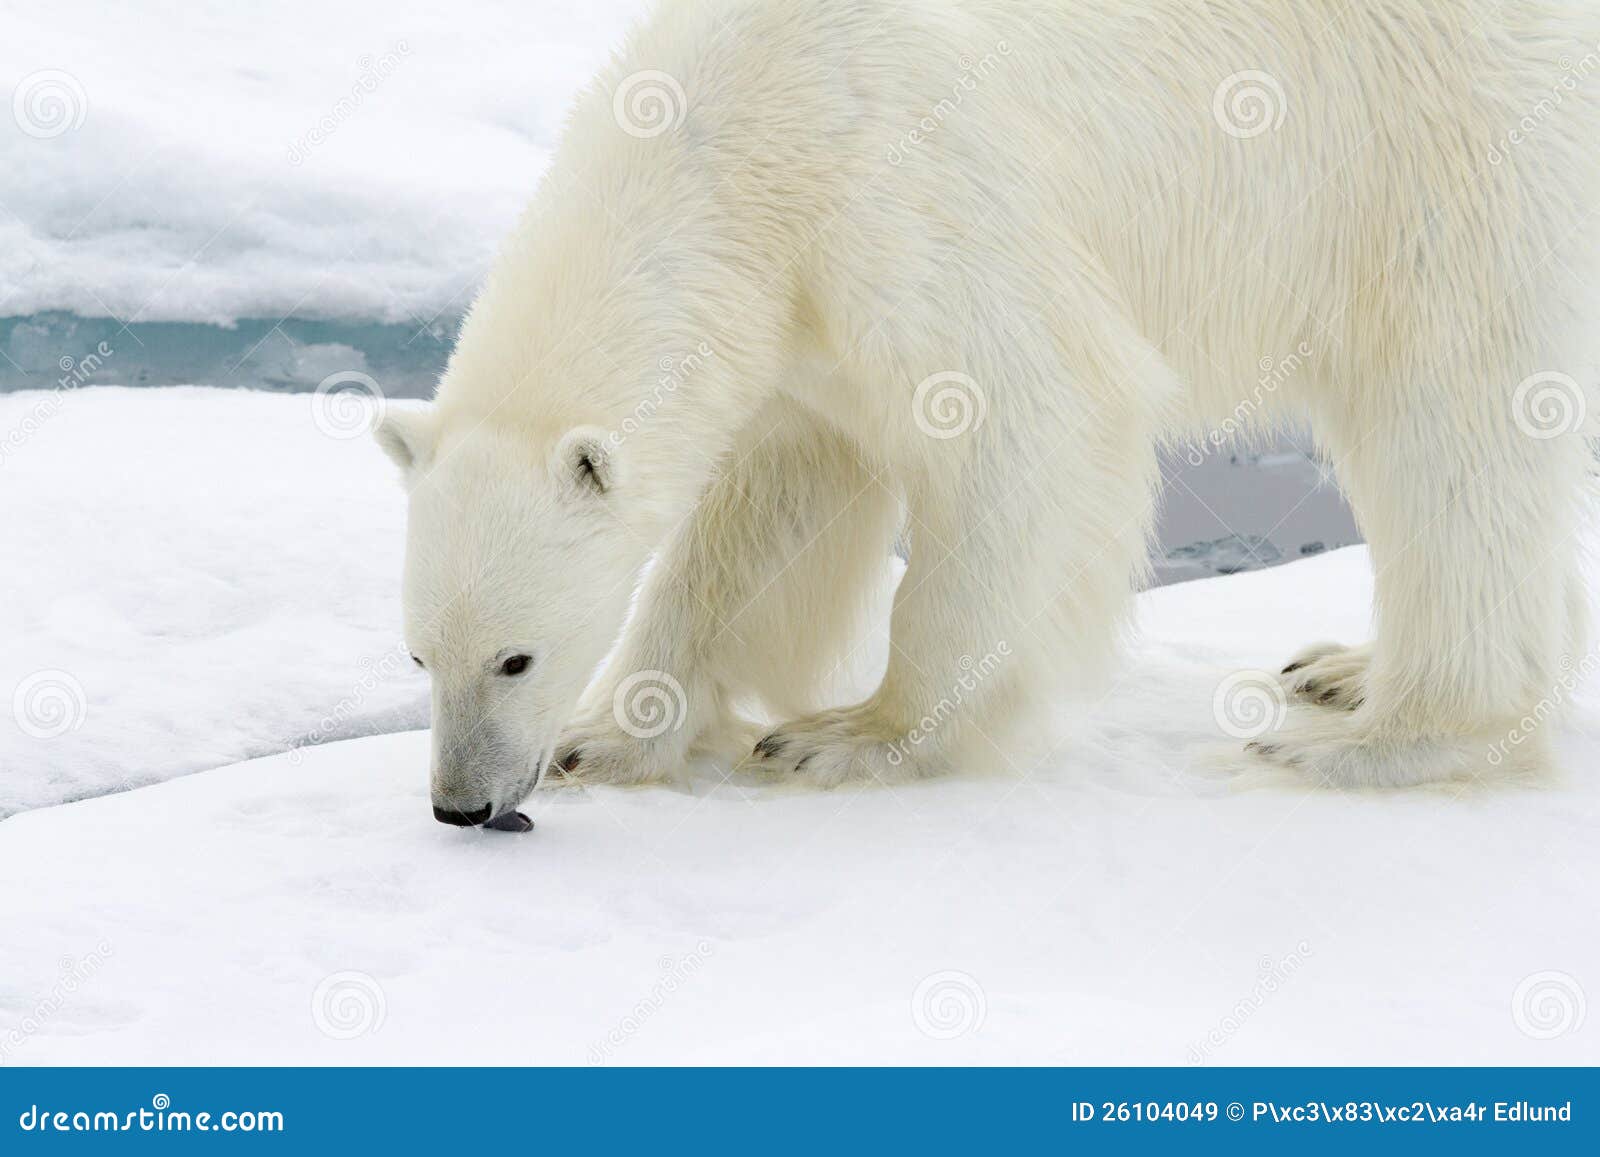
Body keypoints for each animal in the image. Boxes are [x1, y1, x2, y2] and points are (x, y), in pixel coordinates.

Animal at [376, 0, 1600, 826]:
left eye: (516, 658)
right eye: (420, 656)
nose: (461, 803)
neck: (744, 115)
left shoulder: (901, 191)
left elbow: (1029, 419)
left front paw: (850, 736)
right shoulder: (794, 314)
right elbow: (765, 512)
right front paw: (612, 738)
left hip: (1454, 154)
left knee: (1448, 417)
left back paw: (1378, 737)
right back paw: (1343, 665)